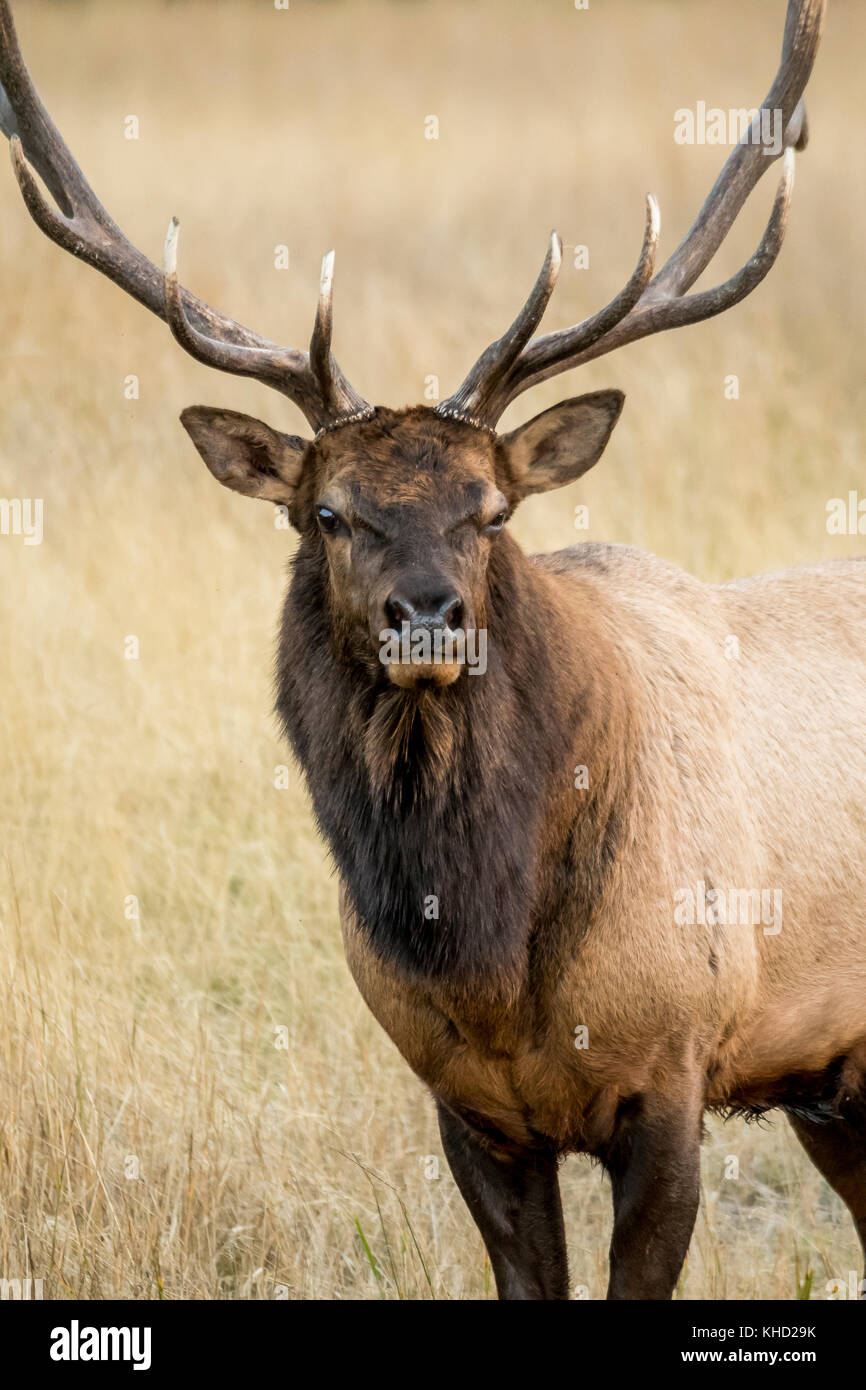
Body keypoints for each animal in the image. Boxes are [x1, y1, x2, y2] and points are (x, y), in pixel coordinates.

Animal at [3, 0, 863, 1302]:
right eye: (327, 511)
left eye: (490, 510)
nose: (428, 616)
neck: (489, 958)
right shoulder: (467, 1108)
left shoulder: (673, 1071)